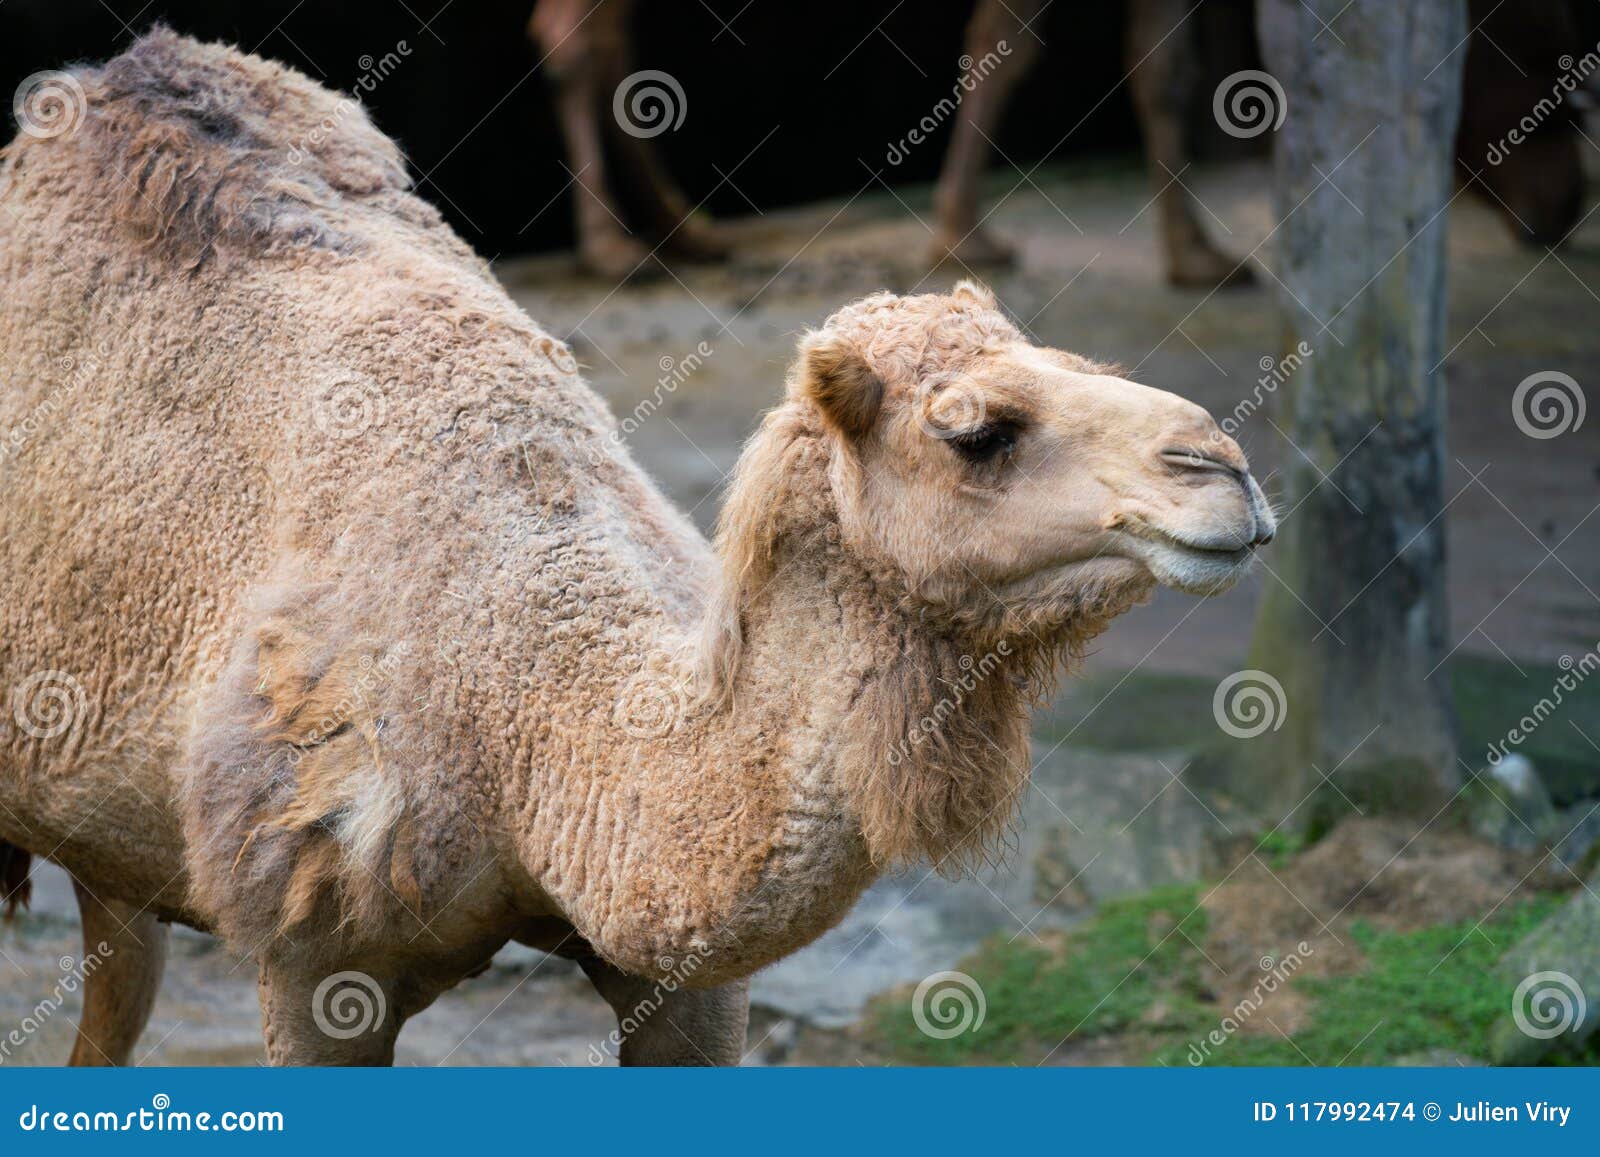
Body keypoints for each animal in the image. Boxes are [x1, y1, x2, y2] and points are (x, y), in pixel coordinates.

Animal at [0, 30, 1273, 1066]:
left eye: (1081, 365)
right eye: (976, 431)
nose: (1226, 469)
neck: (529, 722)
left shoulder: (687, 982)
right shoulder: (308, 943)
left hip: (106, 846)